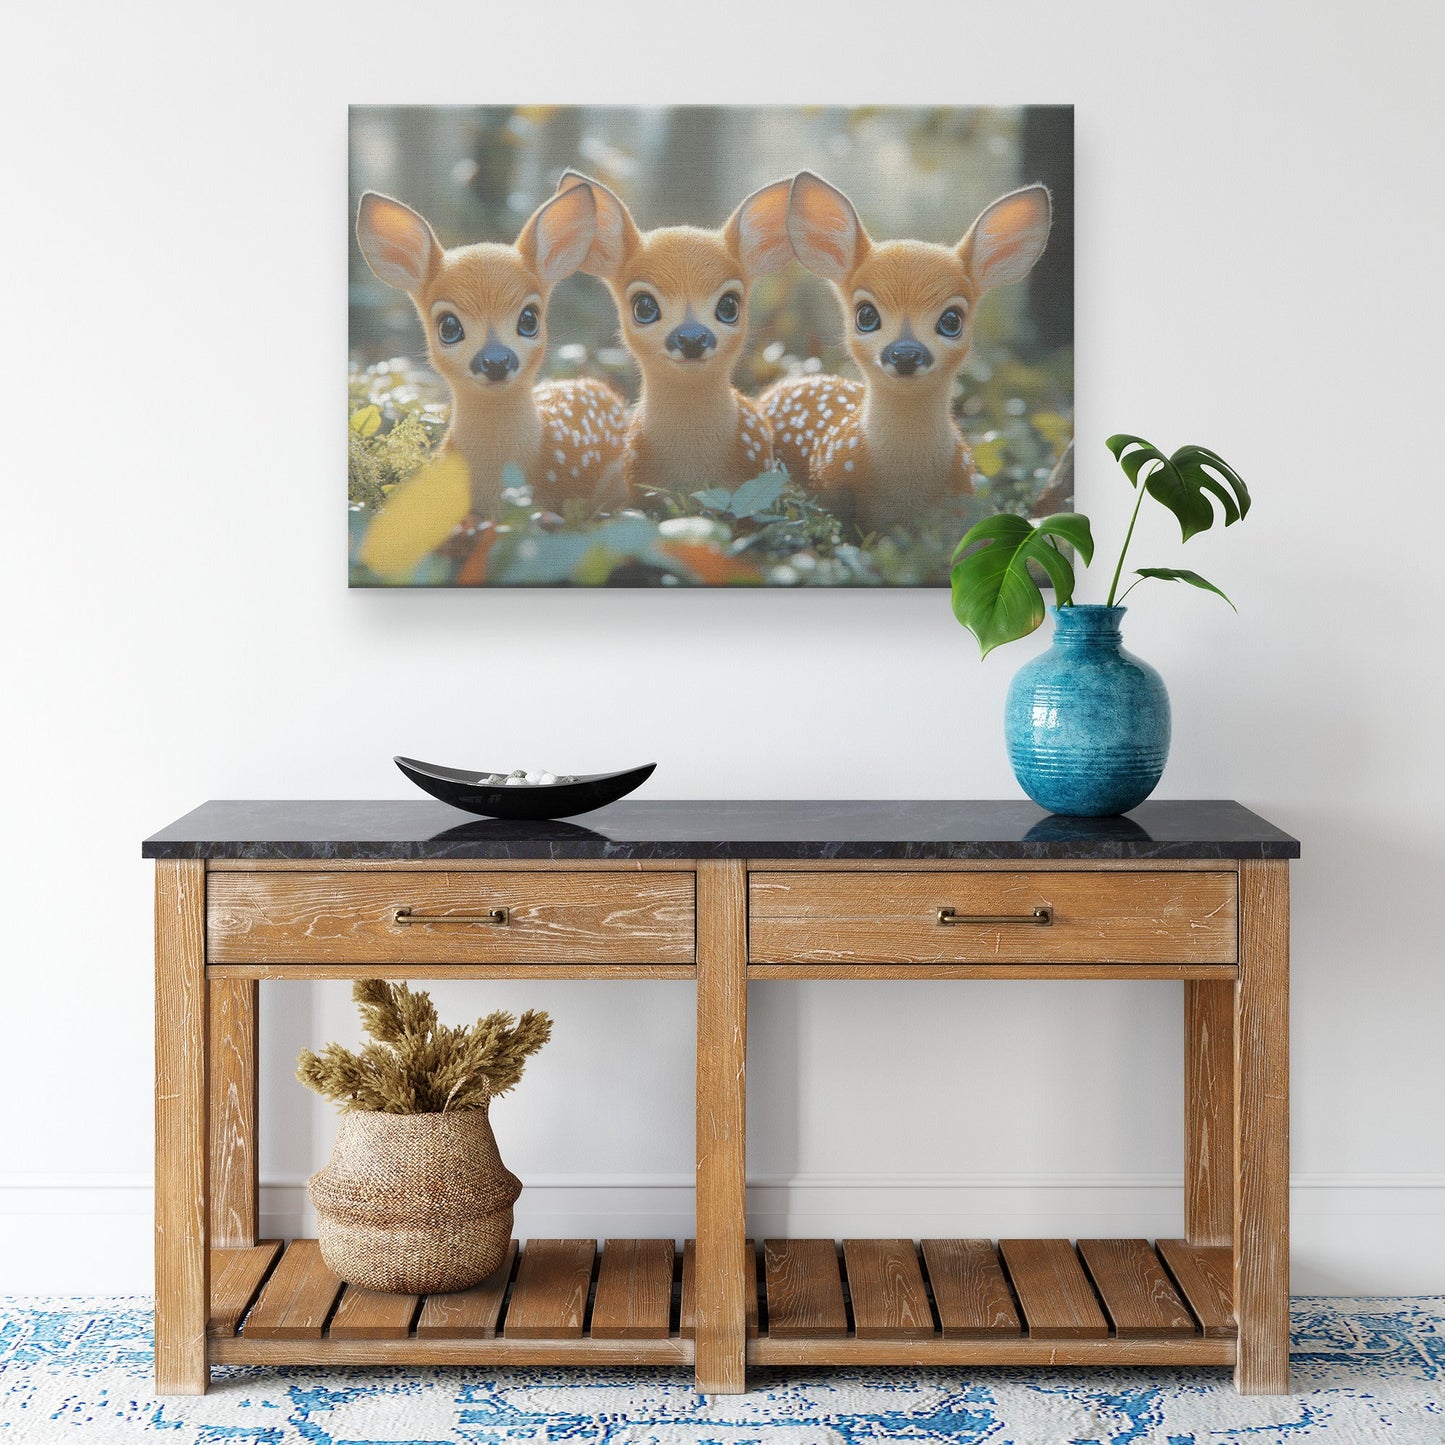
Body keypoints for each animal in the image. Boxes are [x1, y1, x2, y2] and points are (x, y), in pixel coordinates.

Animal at [760, 171, 1053, 534]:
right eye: (866, 315)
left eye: (952, 320)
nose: (906, 354)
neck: (903, 478)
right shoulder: (831, 482)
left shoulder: (964, 492)